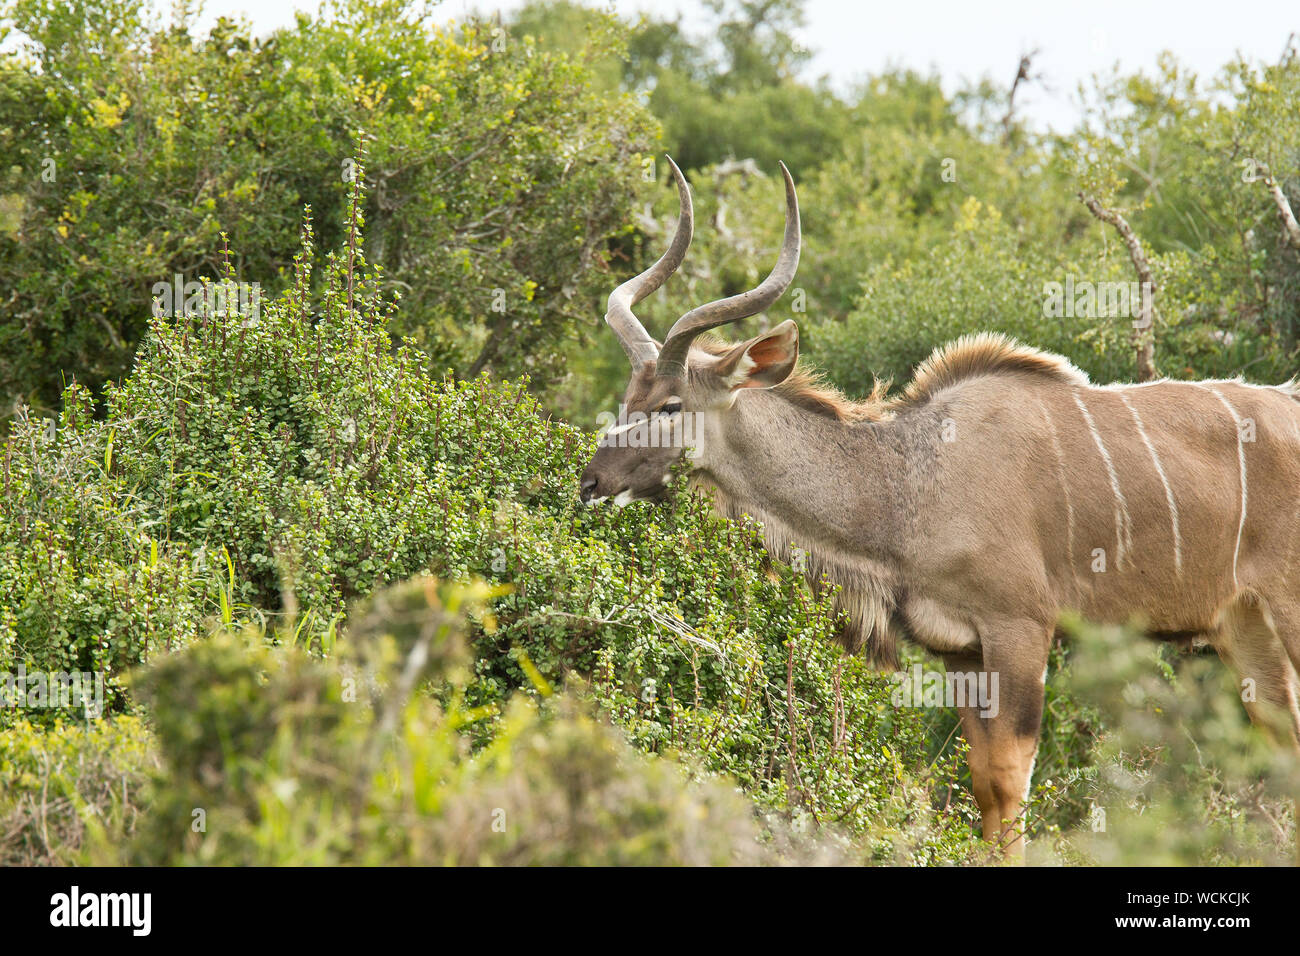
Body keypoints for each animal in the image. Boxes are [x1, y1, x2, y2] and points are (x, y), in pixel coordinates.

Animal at [580, 156, 1300, 856]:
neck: (912, 480)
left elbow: (1011, 783)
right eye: (627, 397)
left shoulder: (1020, 630)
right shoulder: (959, 649)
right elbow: (984, 784)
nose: (590, 481)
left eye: (670, 406)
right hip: (1244, 628)